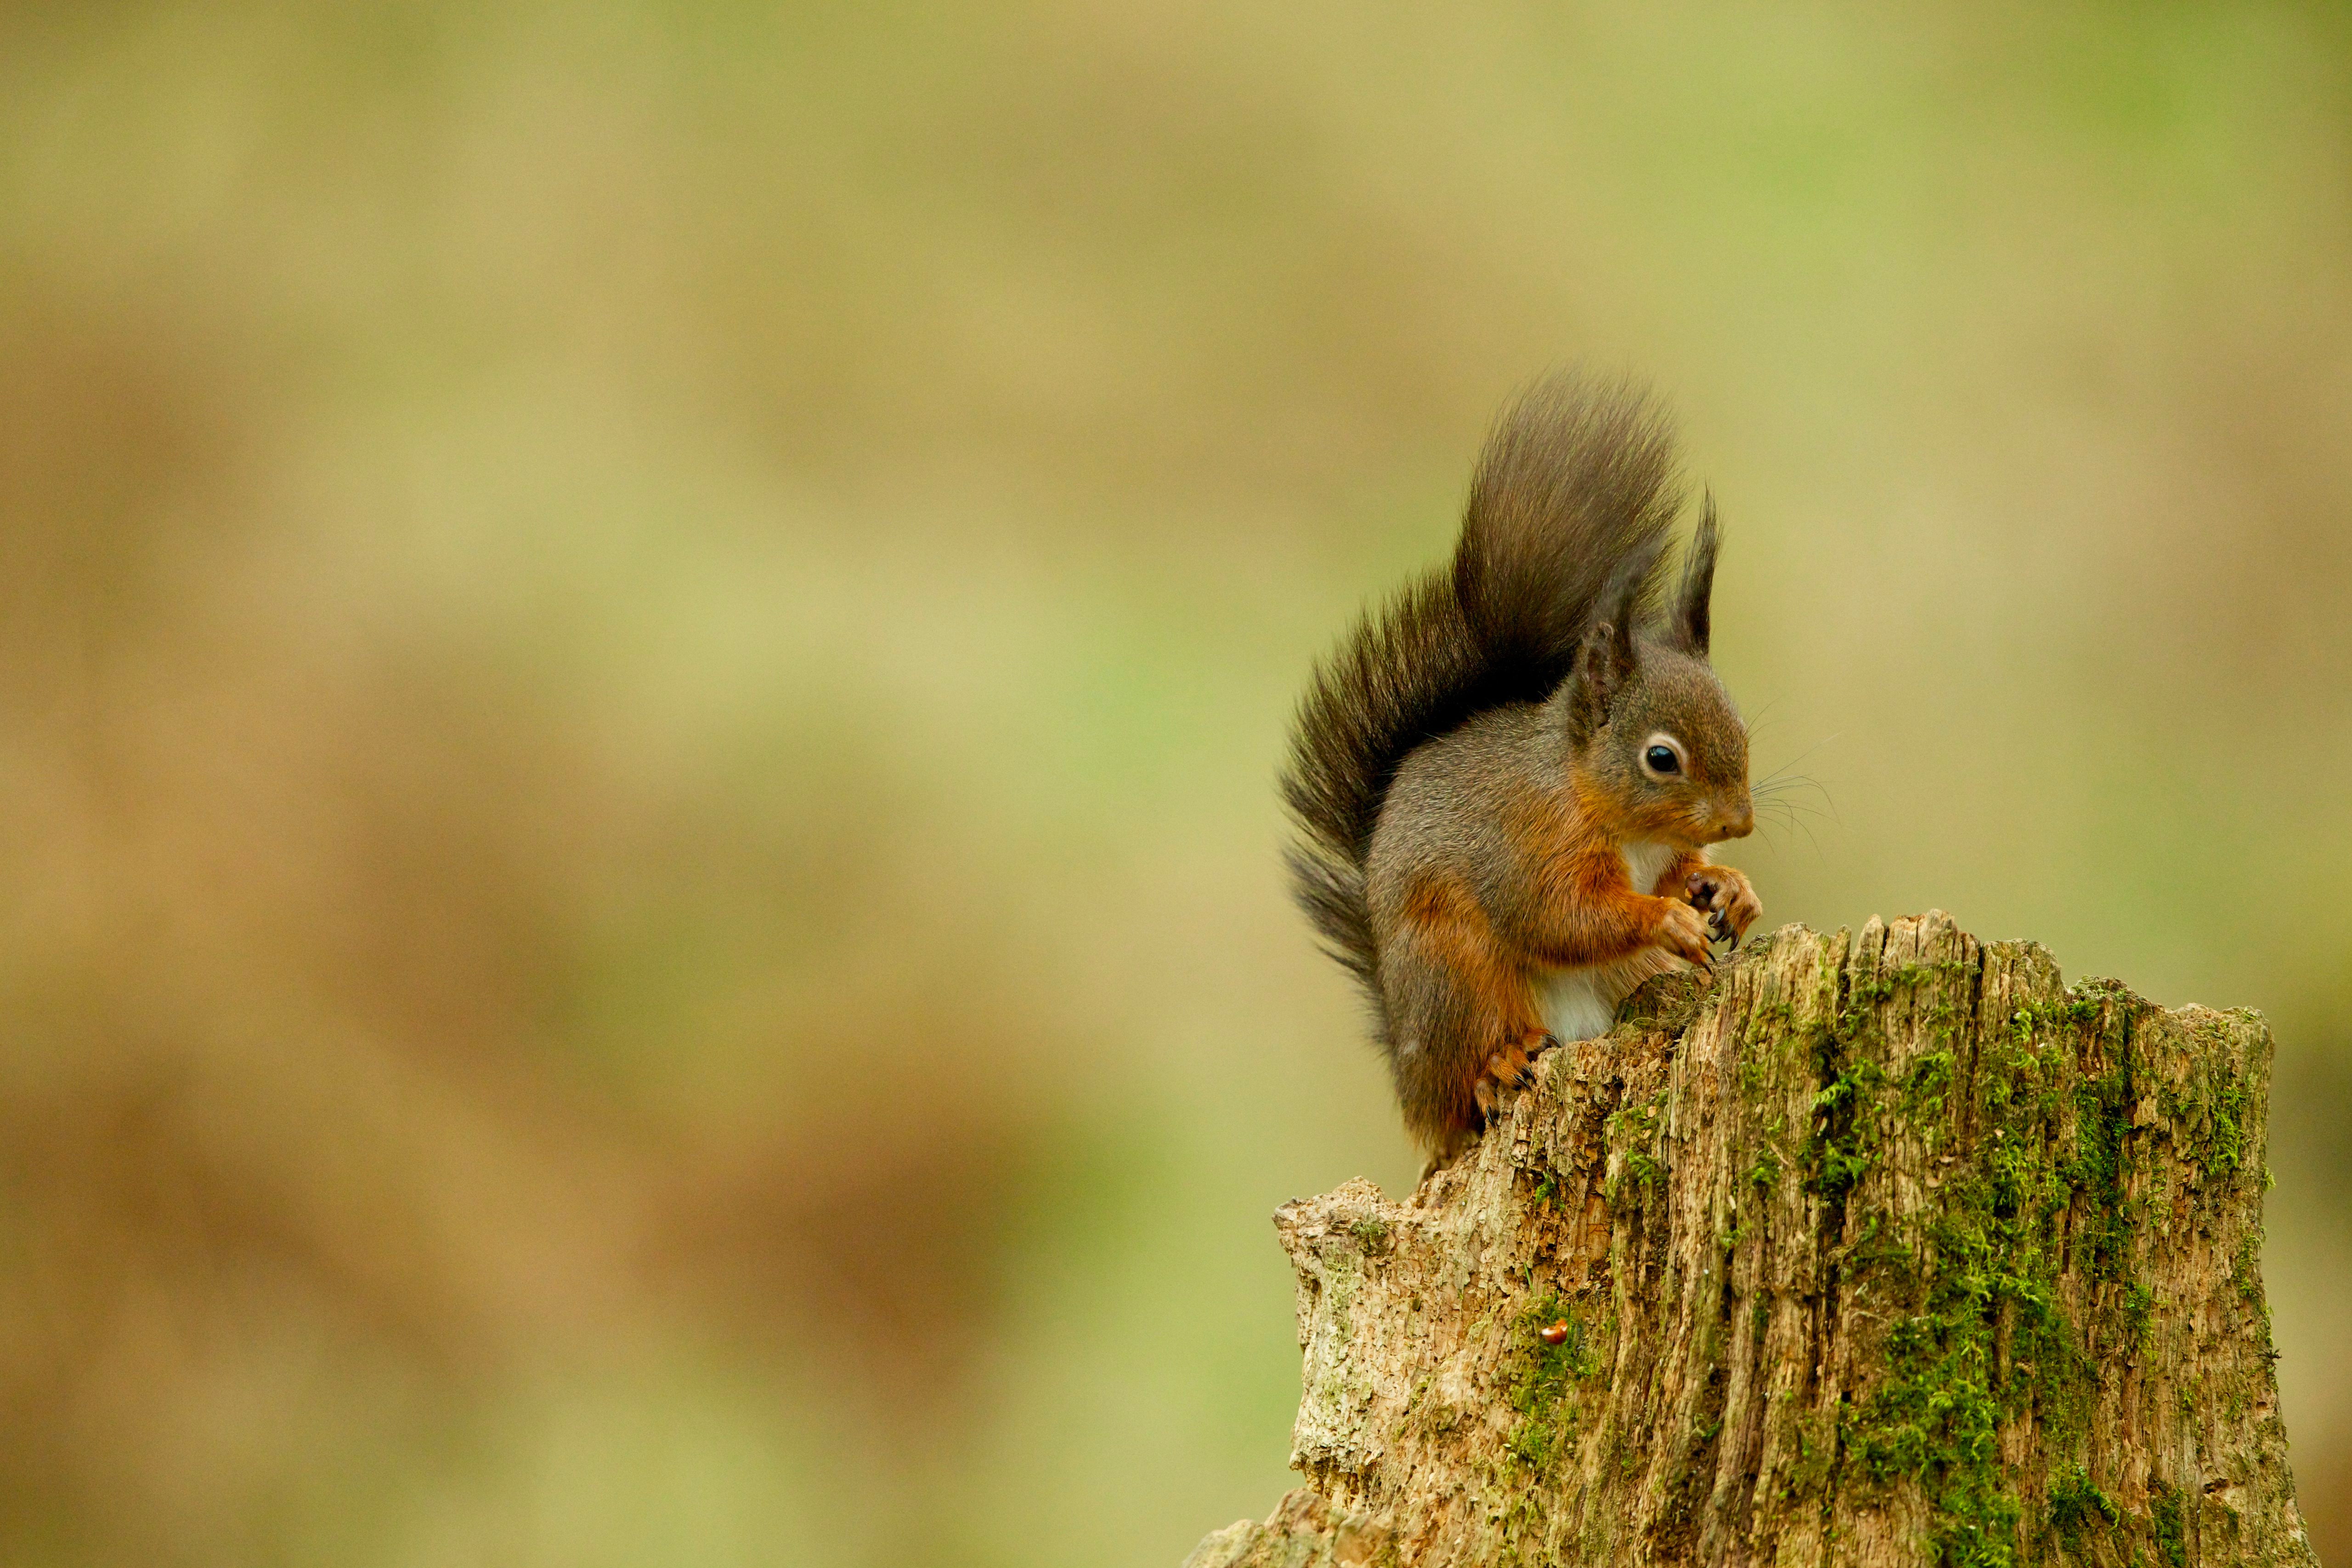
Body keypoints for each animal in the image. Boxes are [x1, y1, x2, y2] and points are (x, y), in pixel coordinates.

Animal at [1280, 373, 1761, 1160]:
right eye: (1661, 758)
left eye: (1742, 727)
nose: (1740, 822)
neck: (1595, 799)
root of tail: (1411, 1085)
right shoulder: (1527, 841)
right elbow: (1559, 916)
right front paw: (1667, 917)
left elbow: (1676, 877)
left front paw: (1728, 889)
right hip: (1453, 972)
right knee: (1470, 1066)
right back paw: (1499, 1064)